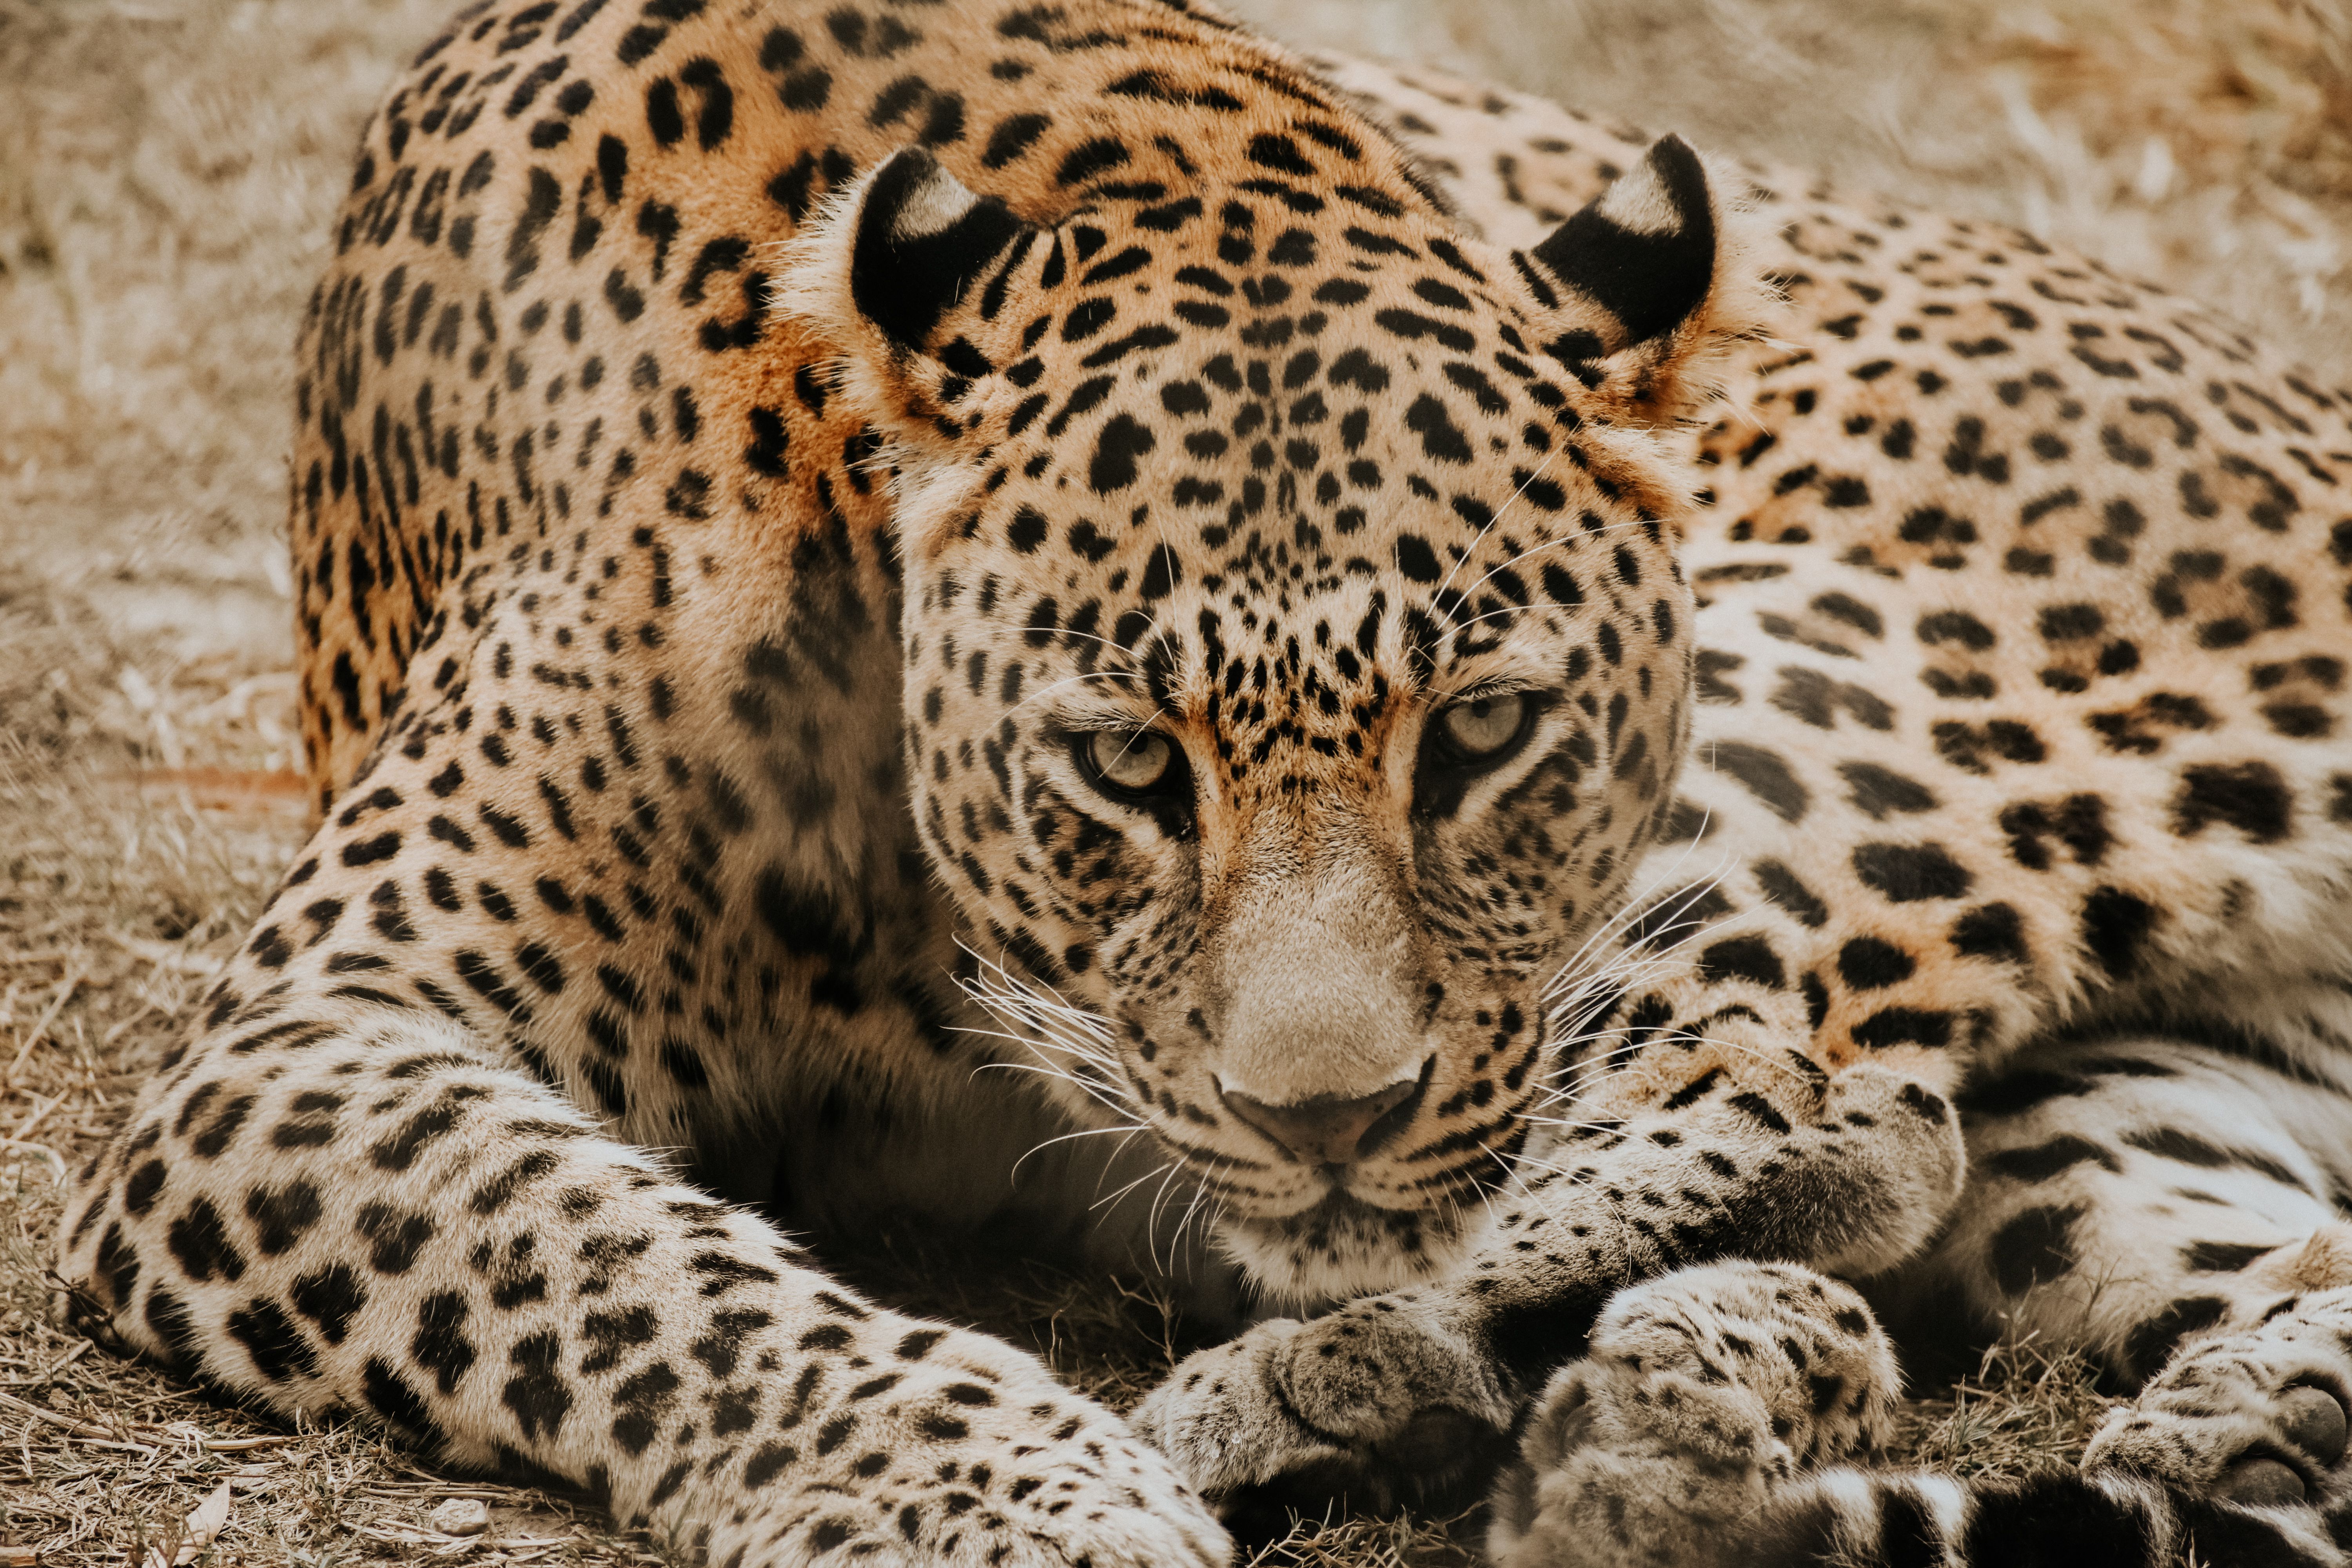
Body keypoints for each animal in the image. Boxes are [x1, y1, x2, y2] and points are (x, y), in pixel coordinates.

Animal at [40, 0, 2352, 1563]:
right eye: (1126, 761)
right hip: (2128, 1091)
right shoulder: (301, 1046)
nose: (1328, 1116)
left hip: (1846, 702)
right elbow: (627, 1273)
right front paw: (1030, 1489)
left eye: (1482, 729)